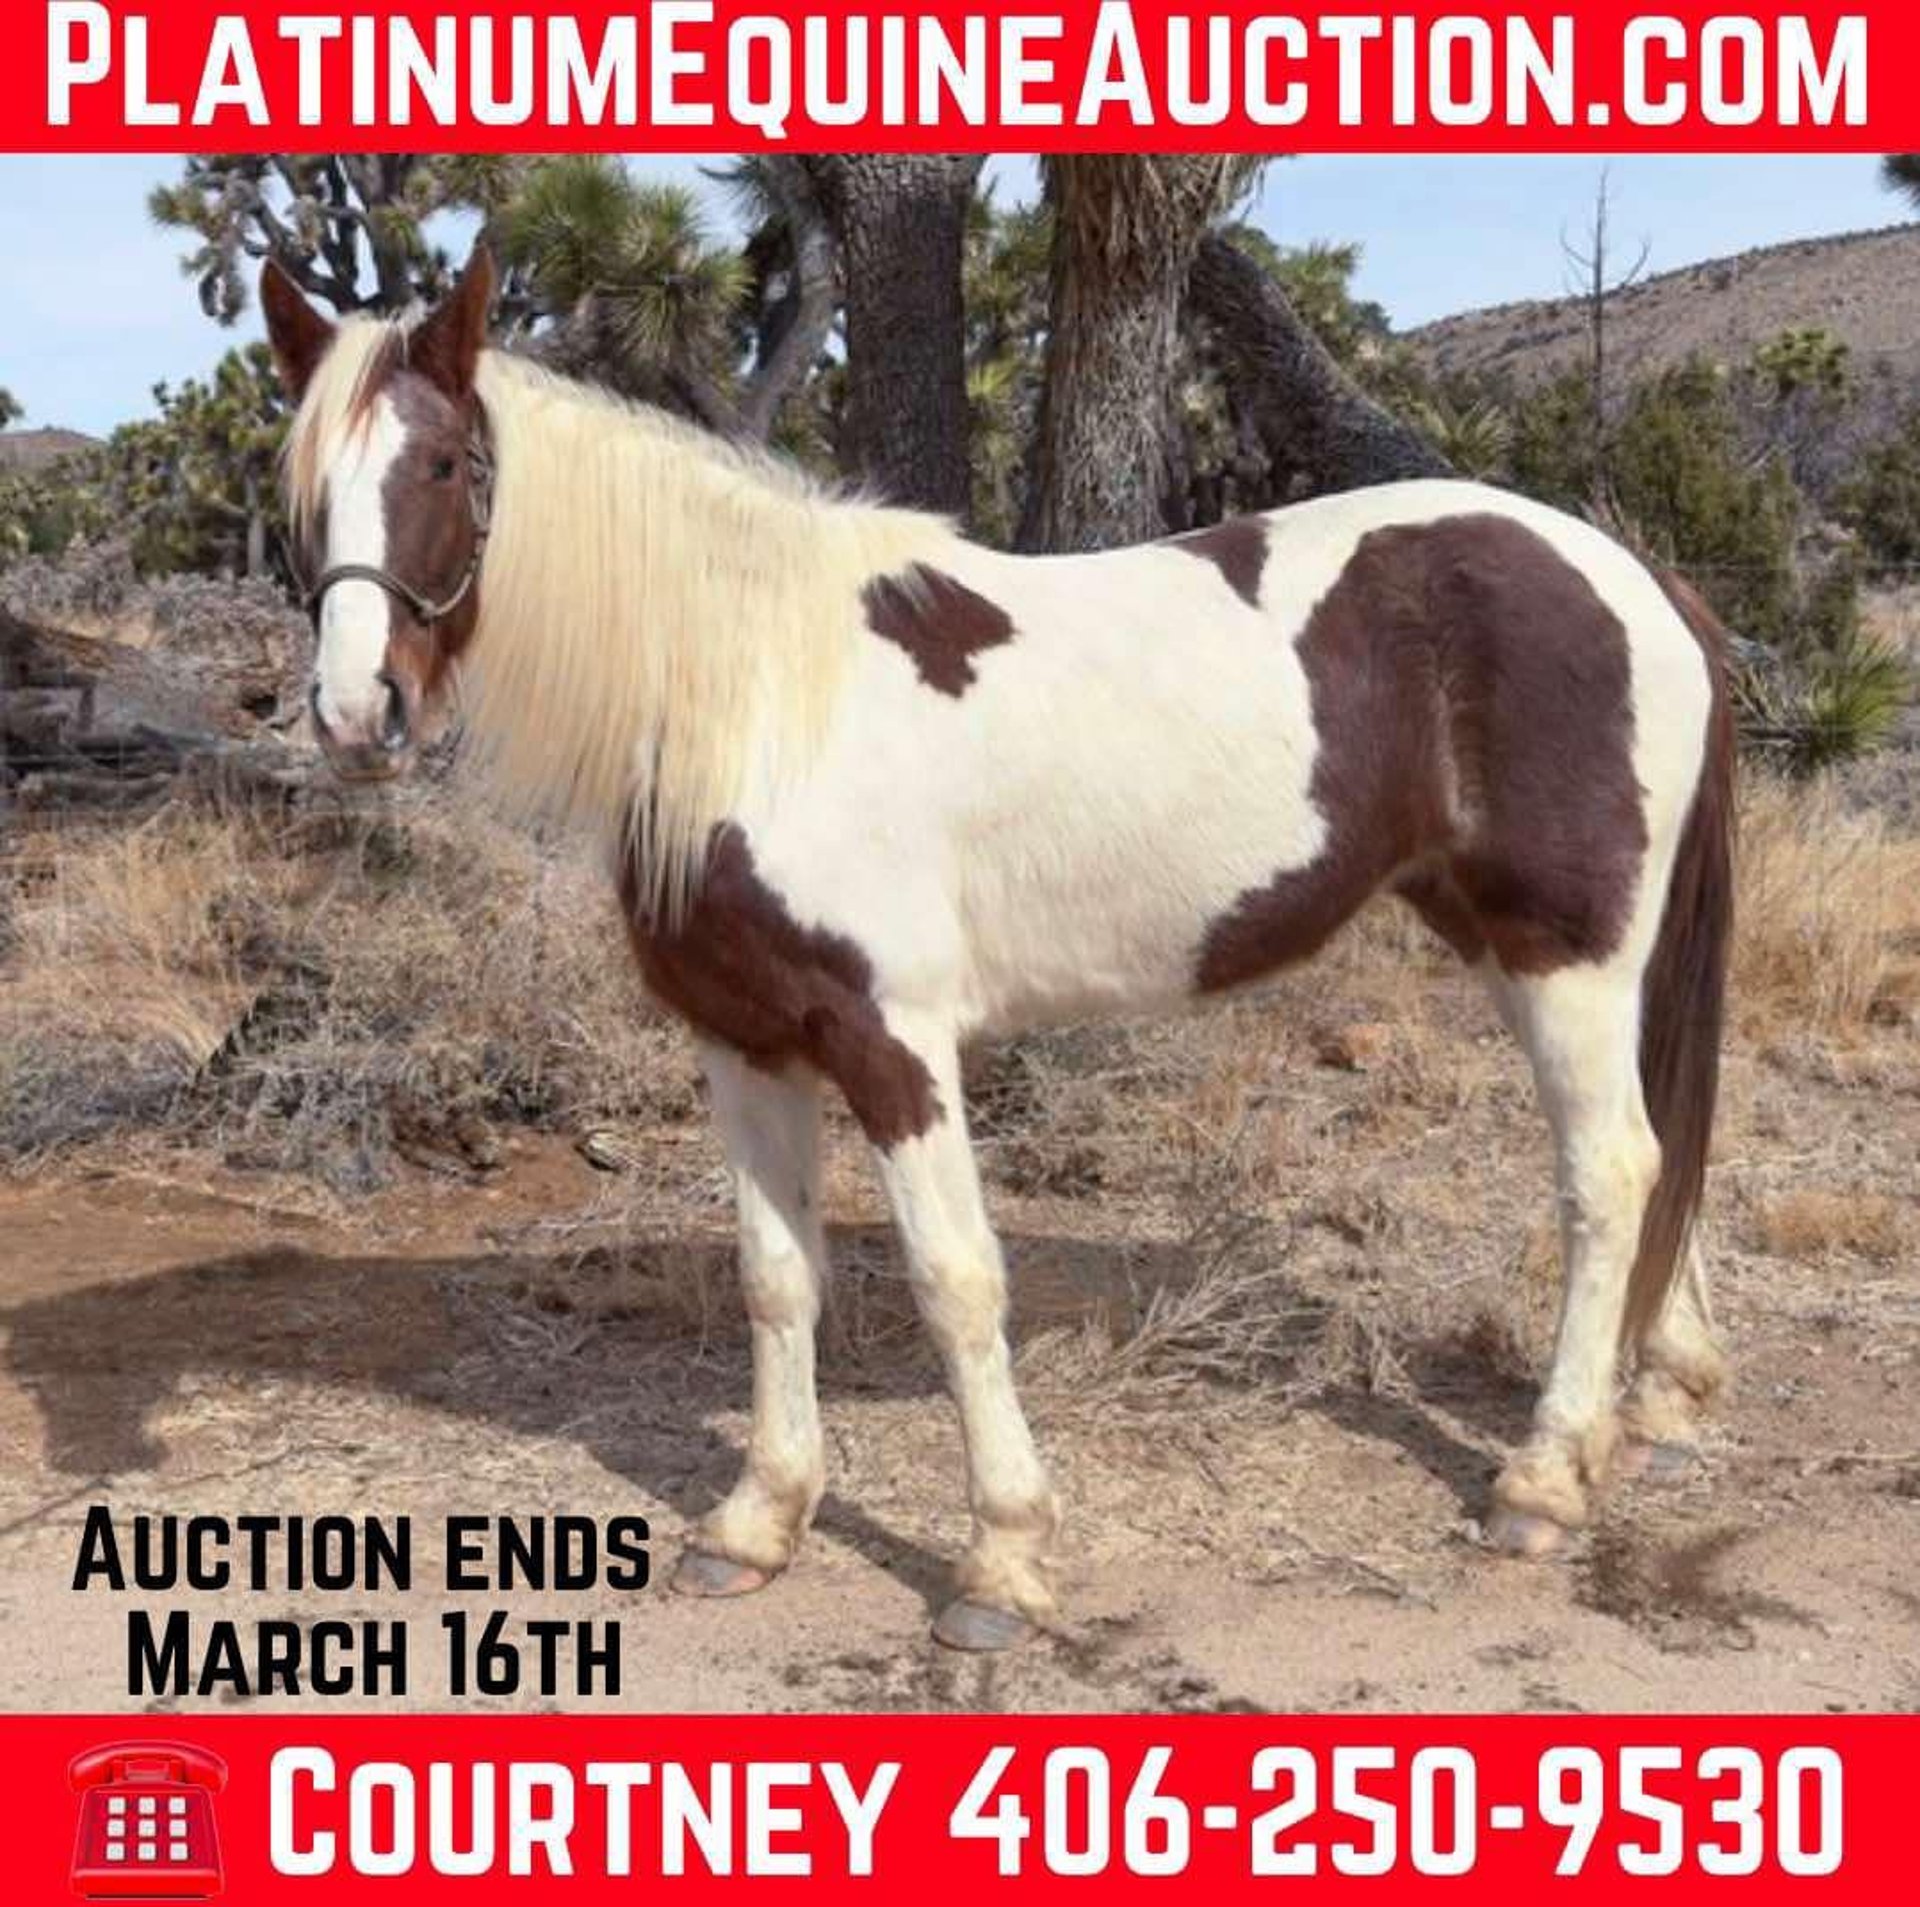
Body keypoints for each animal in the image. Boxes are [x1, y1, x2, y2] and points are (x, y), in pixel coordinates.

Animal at [263, 246, 1733, 1654]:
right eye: (302, 494)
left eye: (444, 465)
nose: (354, 715)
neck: (760, 694)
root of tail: (1633, 576)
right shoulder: (746, 1042)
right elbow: (774, 1278)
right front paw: (756, 1522)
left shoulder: (893, 1040)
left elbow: (956, 1282)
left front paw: (1003, 1561)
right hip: (1533, 943)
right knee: (1658, 1156)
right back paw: (1652, 1403)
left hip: (1569, 953)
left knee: (1610, 1171)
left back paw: (1542, 1479)